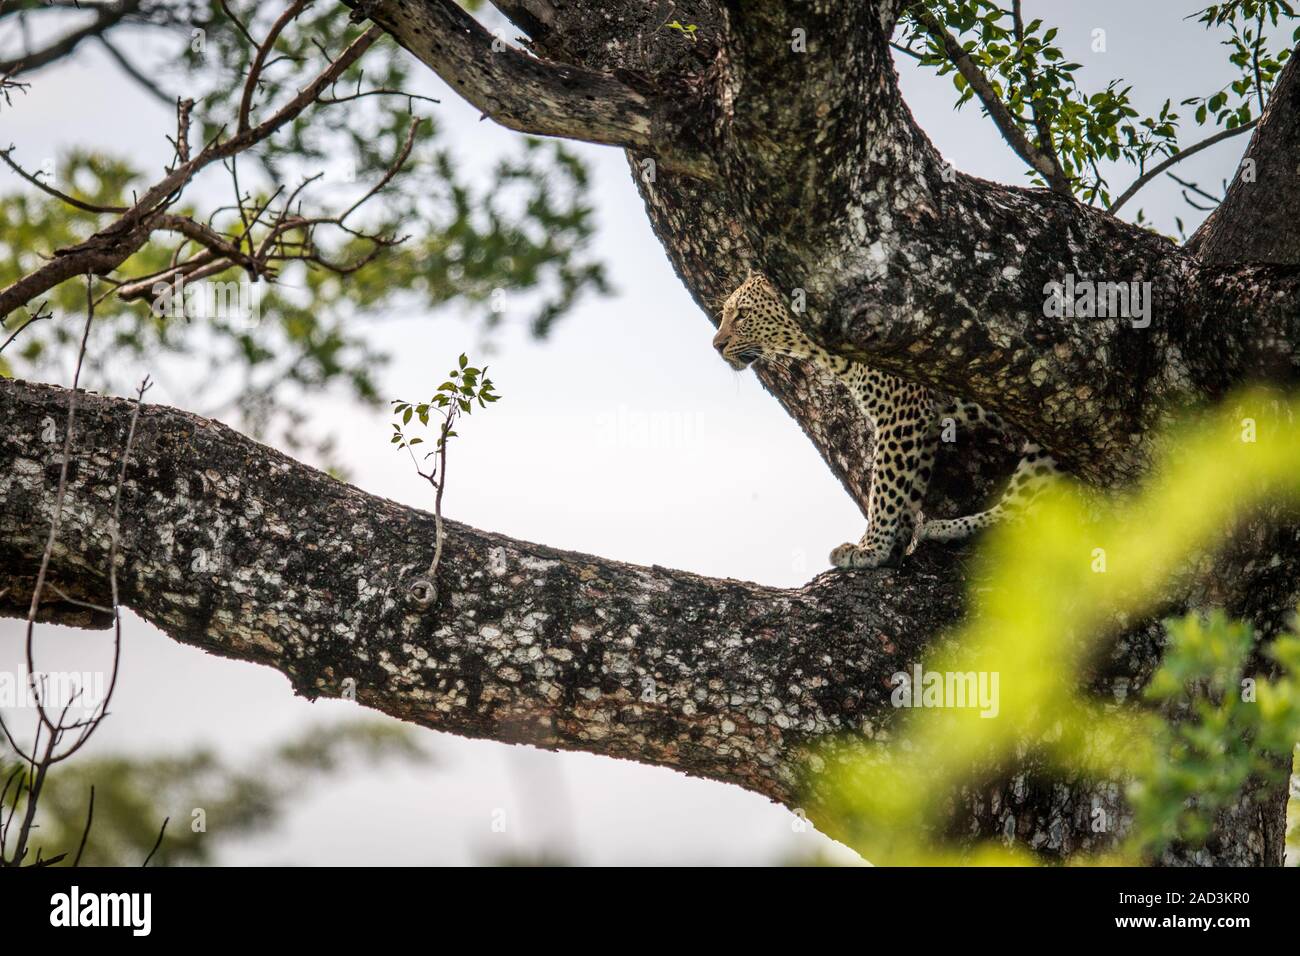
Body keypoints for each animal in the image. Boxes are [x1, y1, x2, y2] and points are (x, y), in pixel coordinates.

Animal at [712, 272, 1057, 569]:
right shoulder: (925, 420)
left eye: (742, 314)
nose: (716, 345)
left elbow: (885, 487)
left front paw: (869, 548)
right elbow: (909, 489)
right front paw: (895, 545)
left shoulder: (900, 411)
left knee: (1020, 509)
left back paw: (950, 528)